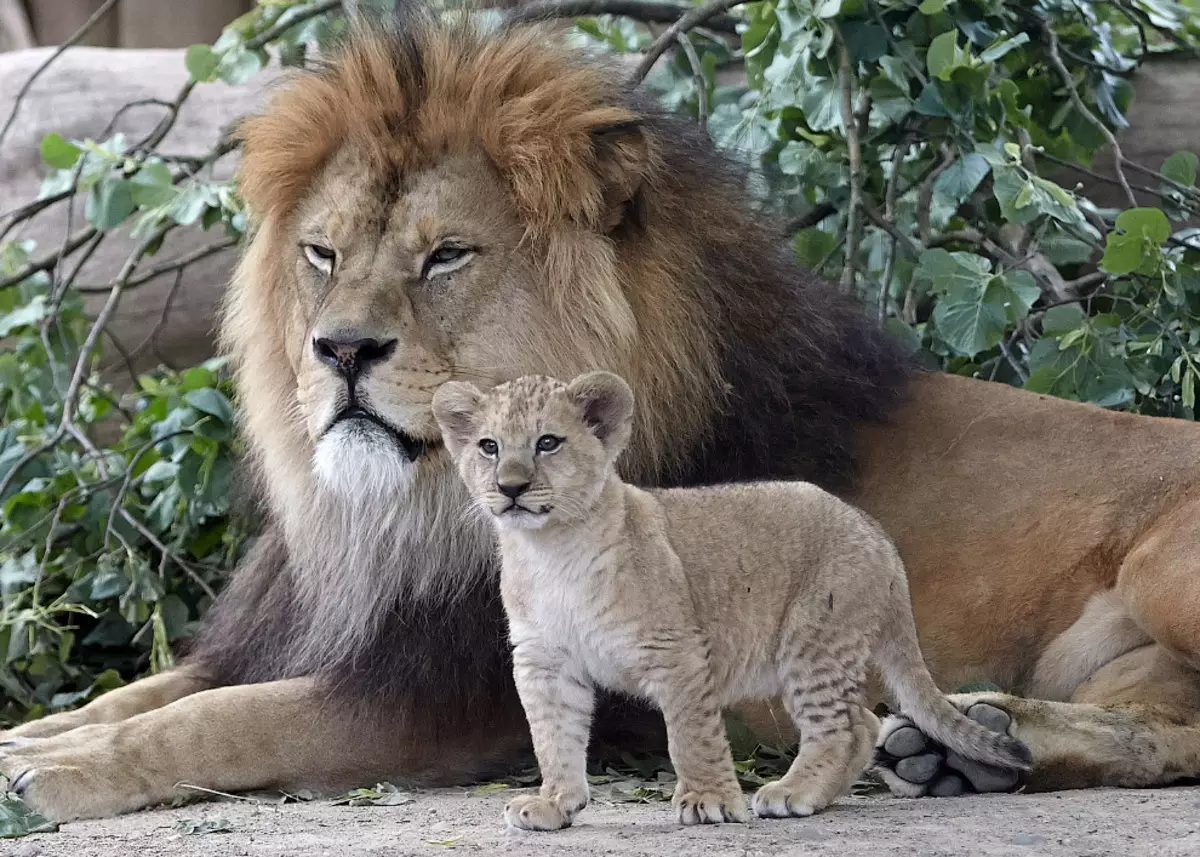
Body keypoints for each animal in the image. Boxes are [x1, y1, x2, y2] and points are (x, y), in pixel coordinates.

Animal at [2, 11, 1200, 816]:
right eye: (322, 253)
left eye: (447, 255)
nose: (338, 349)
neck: (395, 514)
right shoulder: (302, 636)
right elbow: (136, 691)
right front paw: (31, 737)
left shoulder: (444, 697)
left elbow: (209, 719)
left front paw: (55, 775)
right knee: (1163, 722)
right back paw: (972, 742)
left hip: (1165, 564)